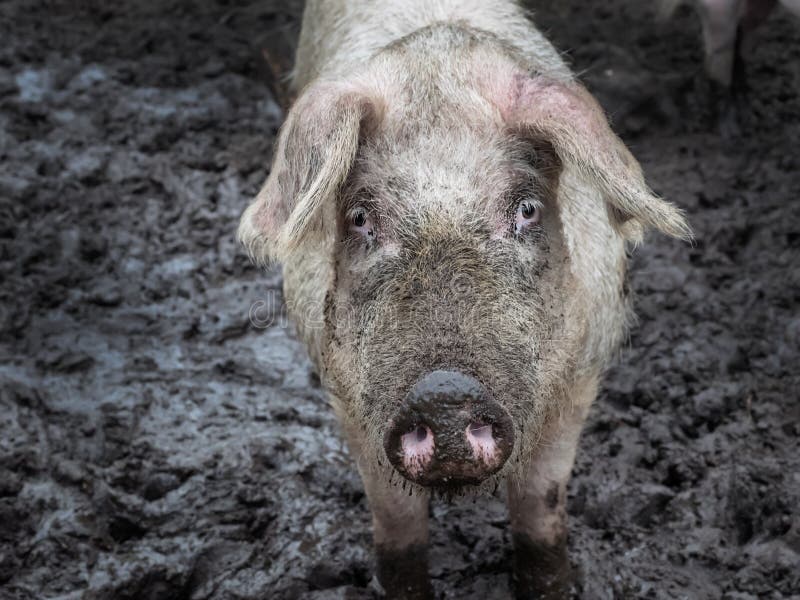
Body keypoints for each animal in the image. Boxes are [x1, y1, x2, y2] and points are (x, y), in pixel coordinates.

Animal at [238, 1, 691, 598]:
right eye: (359, 218)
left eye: (526, 209)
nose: (445, 391)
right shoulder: (348, 400)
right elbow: (398, 526)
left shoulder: (580, 381)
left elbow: (540, 513)